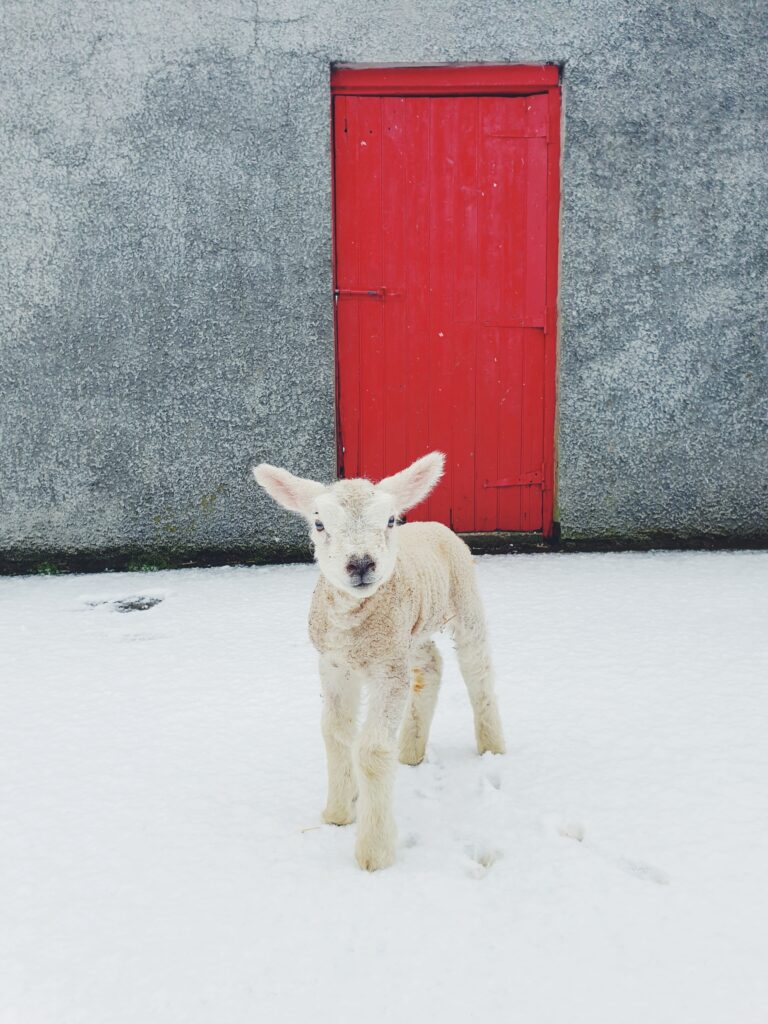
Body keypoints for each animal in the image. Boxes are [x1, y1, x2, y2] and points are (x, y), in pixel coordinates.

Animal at [253, 452, 505, 871]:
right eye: (319, 523)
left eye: (389, 520)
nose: (360, 564)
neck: (353, 627)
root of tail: (433, 524)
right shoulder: (334, 664)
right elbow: (335, 733)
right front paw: (338, 812)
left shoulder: (387, 667)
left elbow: (371, 751)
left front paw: (374, 851)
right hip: (410, 633)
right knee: (431, 665)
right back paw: (411, 751)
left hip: (464, 602)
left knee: (478, 668)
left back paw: (492, 746)